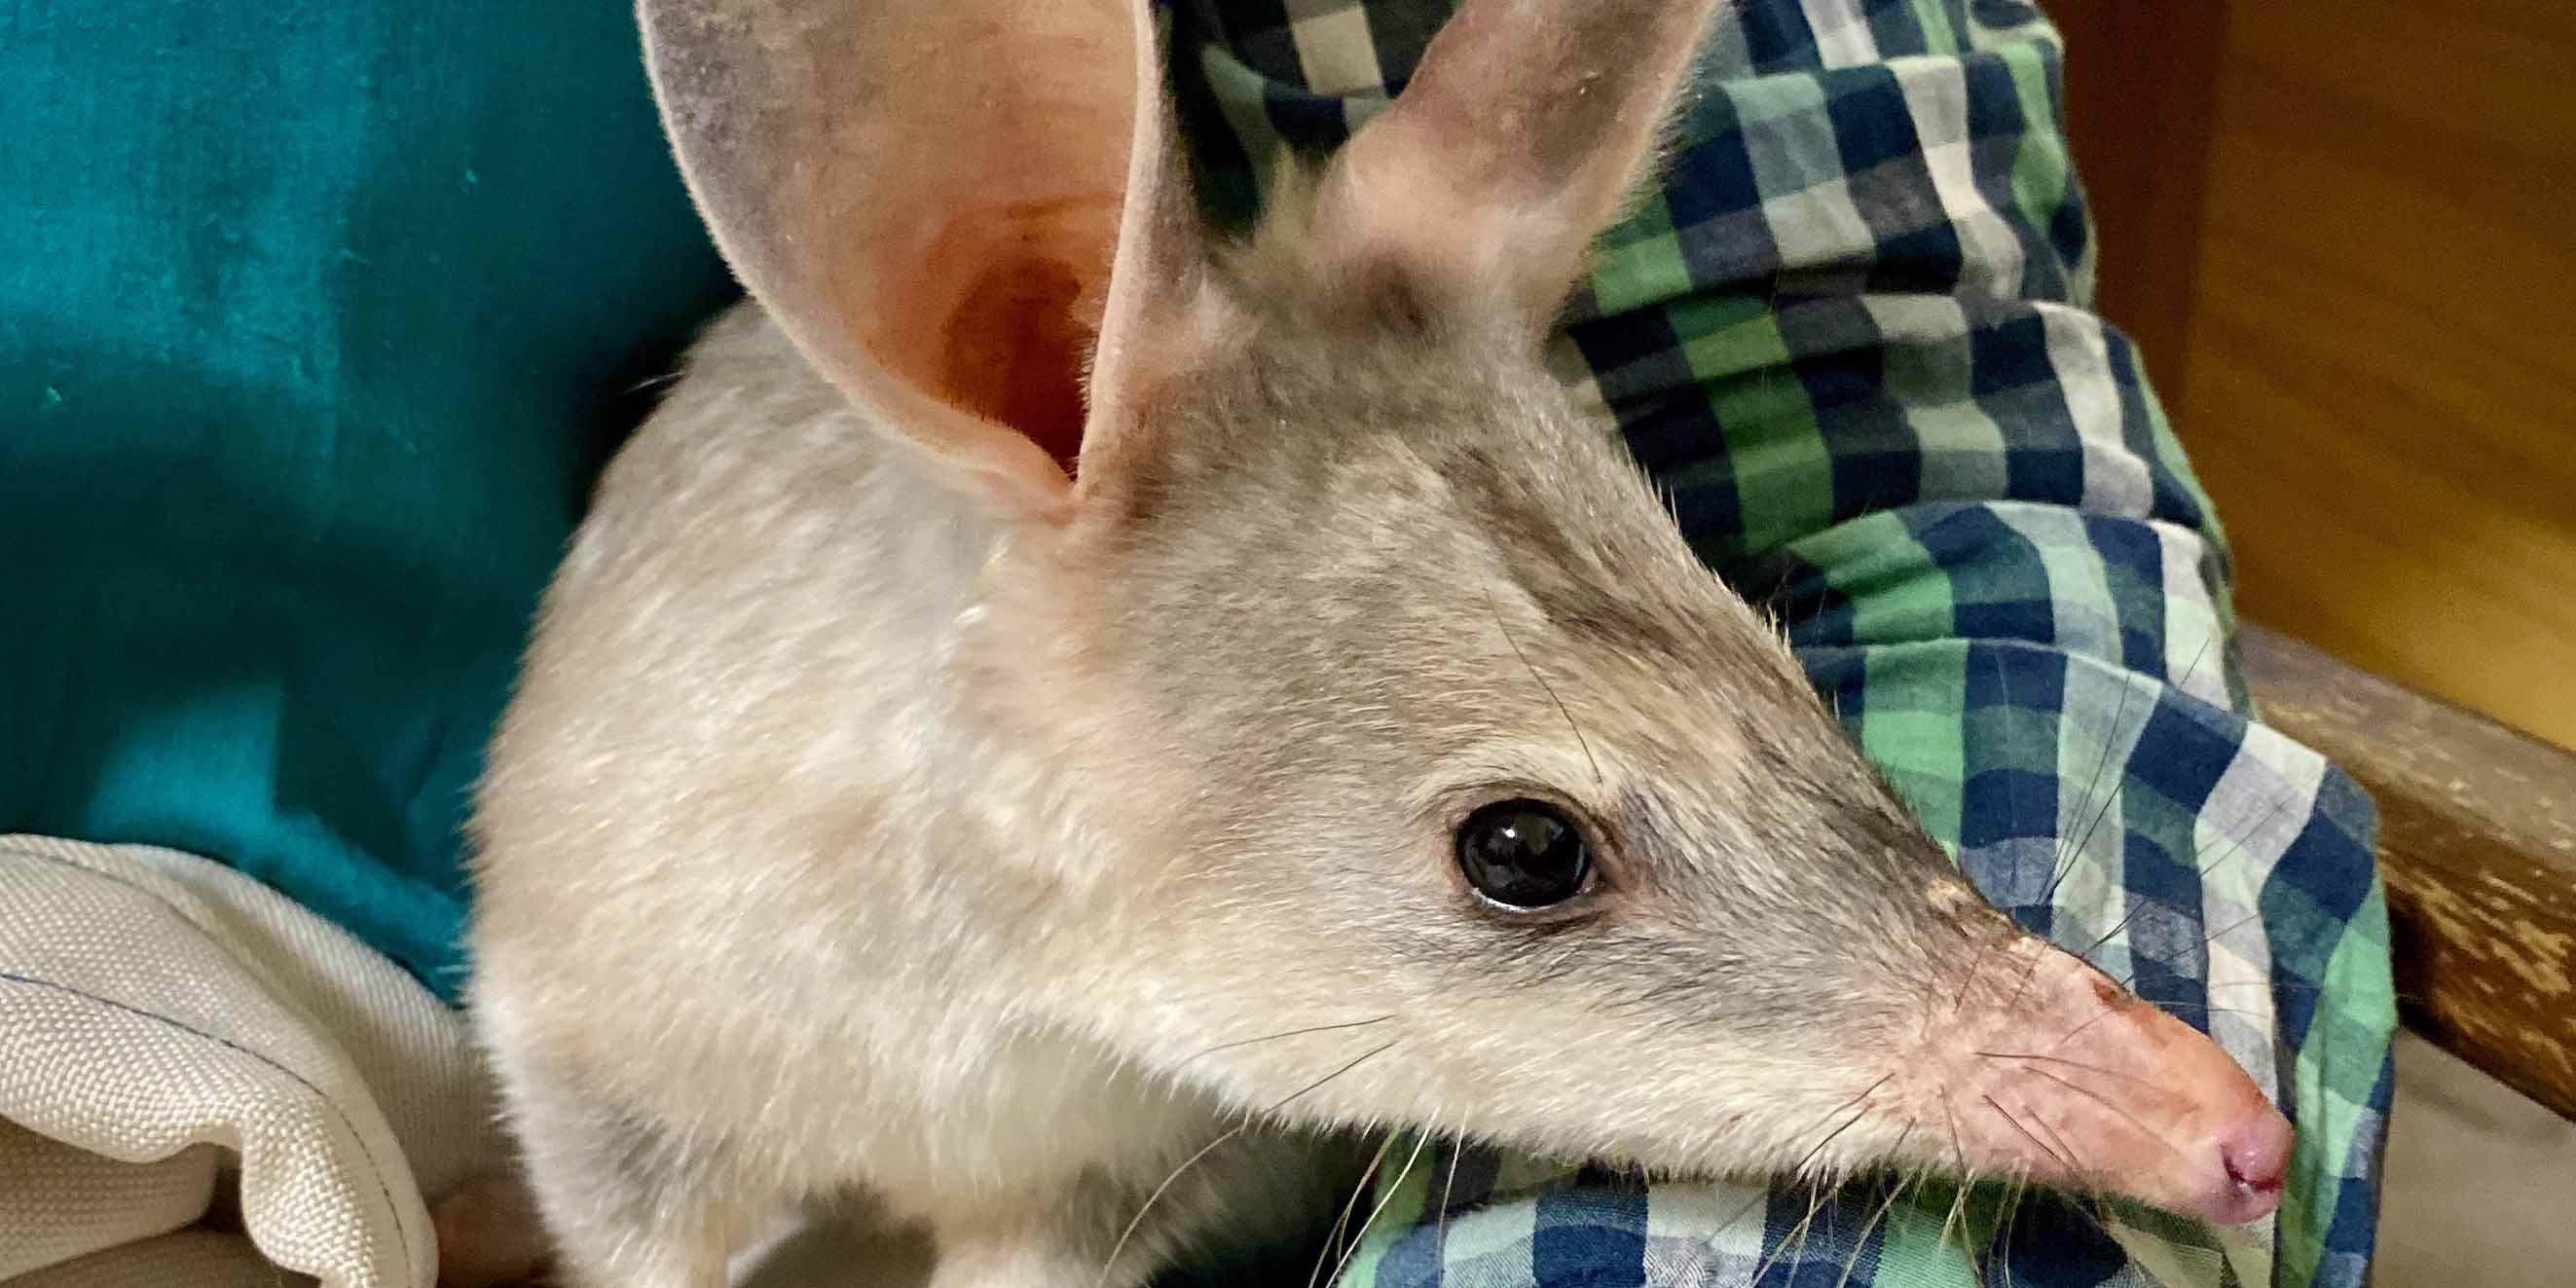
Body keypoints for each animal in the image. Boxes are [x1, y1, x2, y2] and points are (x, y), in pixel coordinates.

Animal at [459, 0, 2295, 1284]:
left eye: (1784, 666)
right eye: (1522, 848)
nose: (2246, 1136)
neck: (997, 997)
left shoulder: (1112, 1175)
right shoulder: (596, 1067)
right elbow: (635, 1239)